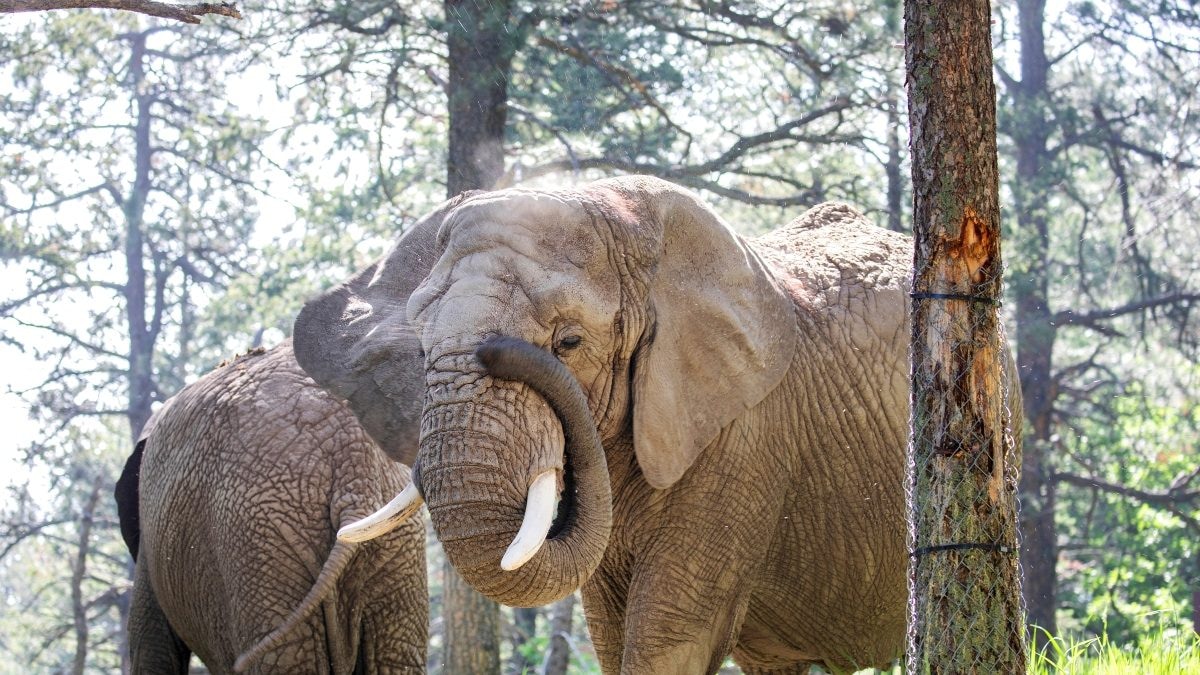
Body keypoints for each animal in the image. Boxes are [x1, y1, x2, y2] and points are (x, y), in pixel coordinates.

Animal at [294, 176, 1018, 673]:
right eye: (420, 353)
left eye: (569, 342)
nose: (499, 348)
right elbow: (611, 634)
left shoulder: (745, 438)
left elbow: (670, 633)